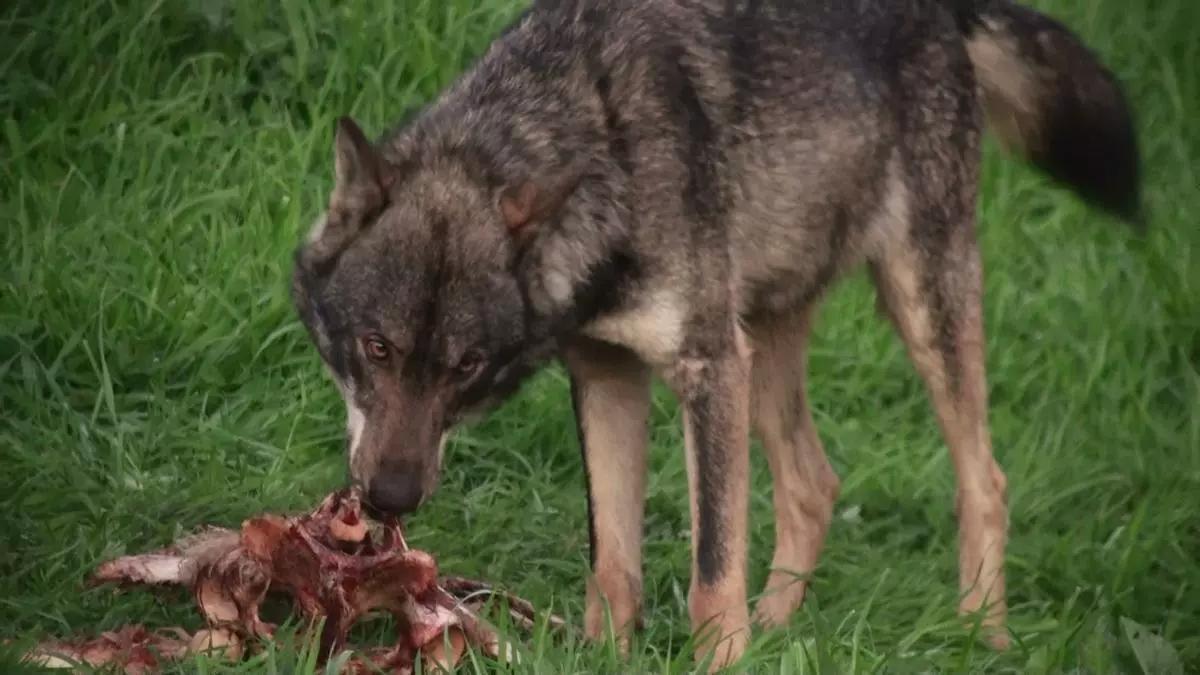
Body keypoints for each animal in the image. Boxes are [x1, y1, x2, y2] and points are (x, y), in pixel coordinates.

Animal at [291, 0, 1139, 668]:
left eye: (467, 367)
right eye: (375, 347)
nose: (391, 497)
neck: (603, 138)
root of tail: (947, 8)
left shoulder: (706, 367)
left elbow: (710, 572)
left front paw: (720, 657)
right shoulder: (607, 373)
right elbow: (614, 564)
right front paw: (609, 655)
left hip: (914, 307)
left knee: (984, 481)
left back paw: (978, 637)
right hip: (763, 346)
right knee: (814, 484)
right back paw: (778, 633)